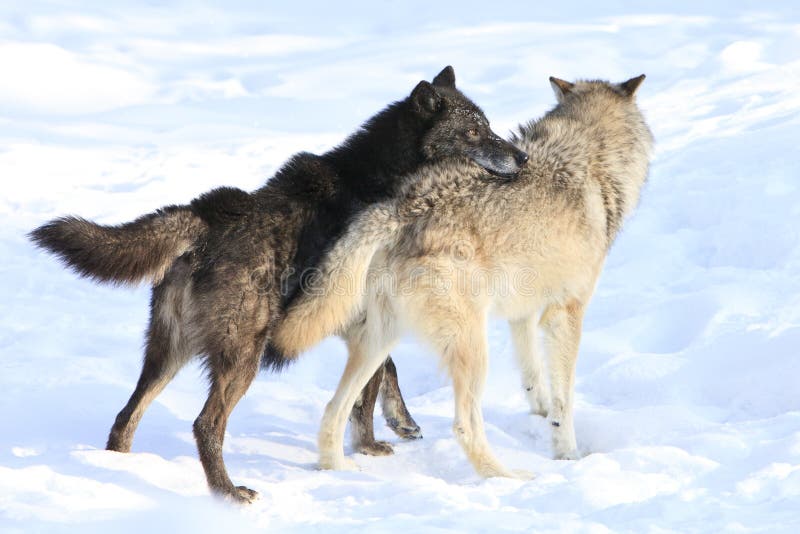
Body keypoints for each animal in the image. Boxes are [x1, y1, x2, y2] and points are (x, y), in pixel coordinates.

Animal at [29, 66, 529, 503]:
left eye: (488, 126)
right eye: (474, 133)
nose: (522, 157)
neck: (382, 178)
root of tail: (203, 215)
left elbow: (381, 374)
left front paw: (395, 423)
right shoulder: (363, 313)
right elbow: (371, 383)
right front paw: (370, 443)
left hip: (167, 353)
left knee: (125, 417)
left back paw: (120, 468)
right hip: (242, 356)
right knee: (205, 425)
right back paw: (229, 493)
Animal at [271, 75, 653, 478]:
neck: (590, 159)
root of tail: (401, 207)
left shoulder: (523, 314)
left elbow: (534, 380)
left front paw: (538, 415)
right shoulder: (565, 313)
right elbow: (564, 402)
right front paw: (568, 456)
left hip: (381, 340)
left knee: (334, 409)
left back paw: (338, 469)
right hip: (471, 345)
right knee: (464, 425)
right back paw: (507, 478)